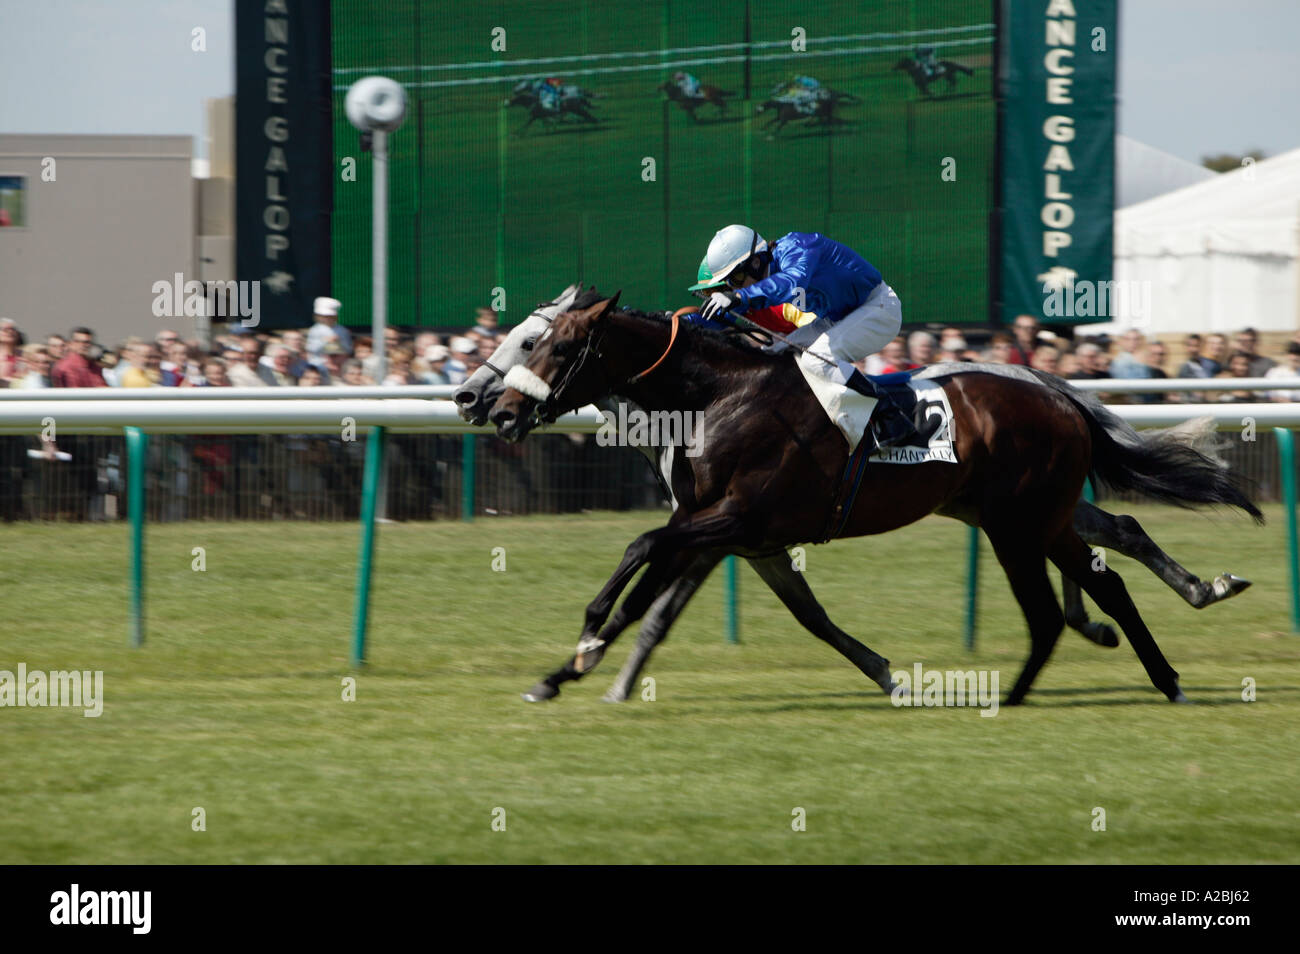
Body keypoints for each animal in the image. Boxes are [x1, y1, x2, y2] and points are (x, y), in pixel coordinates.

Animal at [457, 286, 1253, 702]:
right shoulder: (739, 534)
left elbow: (642, 556)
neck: (716, 395)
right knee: (1110, 558)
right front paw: (570, 671)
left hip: (1018, 520)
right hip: (1029, 514)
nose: (482, 403)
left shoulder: (732, 519)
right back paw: (1169, 657)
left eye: (546, 346)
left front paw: (590, 643)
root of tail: (1058, 394)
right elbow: (680, 603)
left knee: (1088, 574)